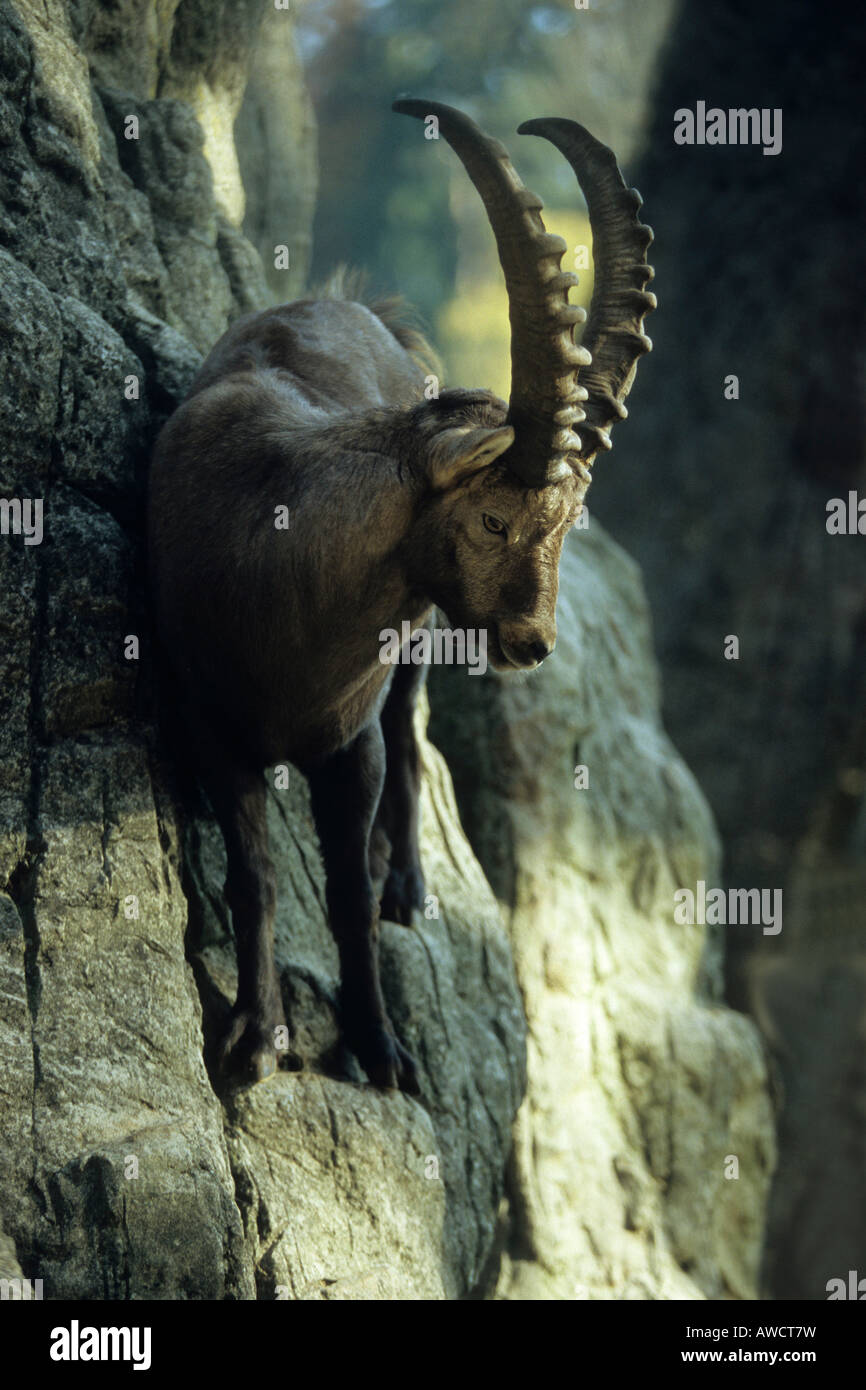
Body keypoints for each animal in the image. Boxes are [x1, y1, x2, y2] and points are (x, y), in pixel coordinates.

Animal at [147, 100, 655, 1092]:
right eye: (494, 517)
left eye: (564, 526)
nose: (532, 640)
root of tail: (362, 307)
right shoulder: (211, 725)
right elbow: (256, 877)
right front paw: (254, 1038)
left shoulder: (349, 746)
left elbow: (346, 891)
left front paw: (378, 1049)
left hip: (420, 641)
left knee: (411, 732)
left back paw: (409, 883)